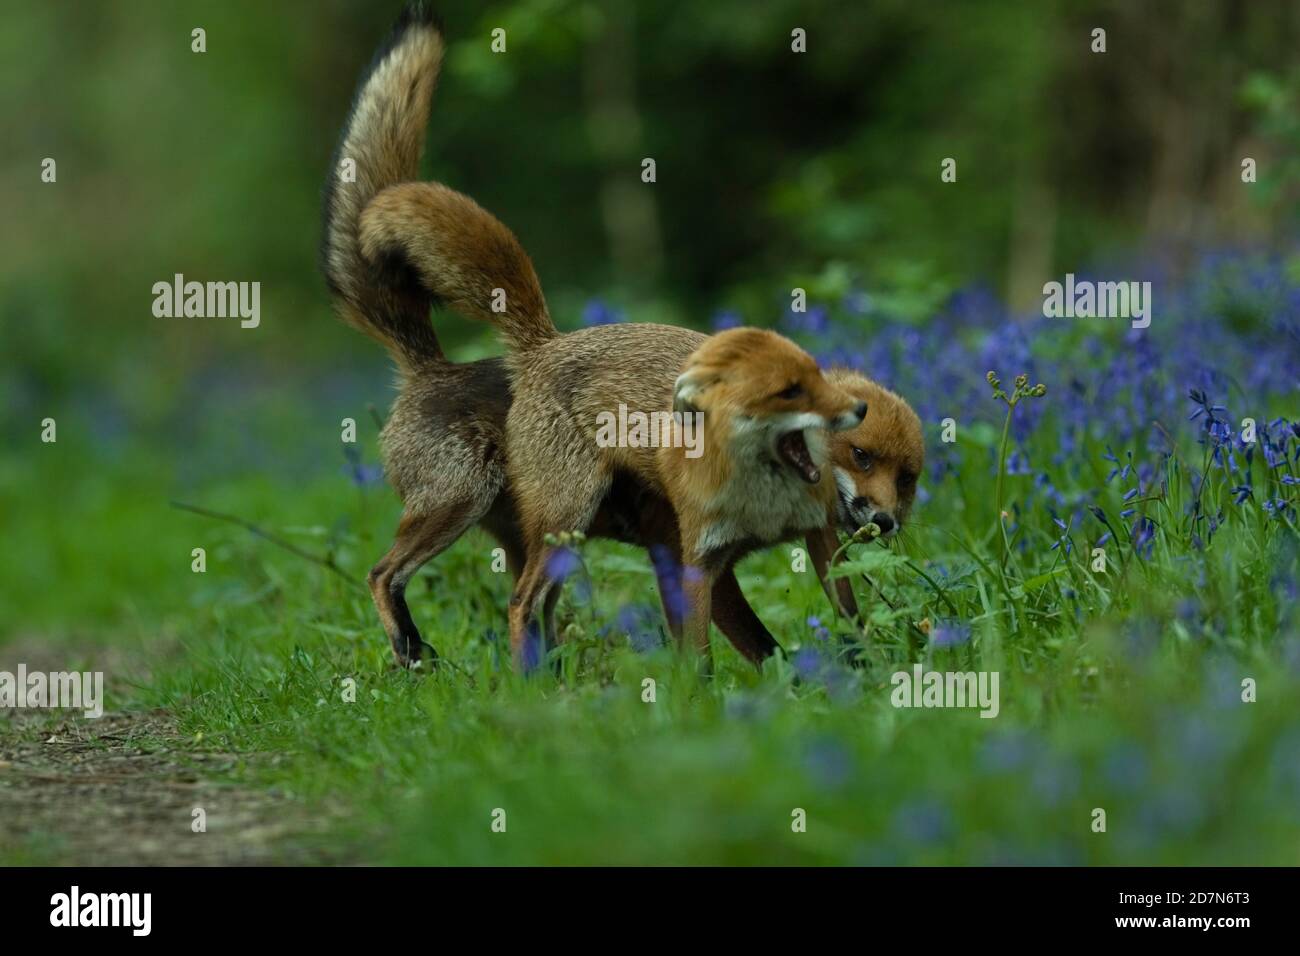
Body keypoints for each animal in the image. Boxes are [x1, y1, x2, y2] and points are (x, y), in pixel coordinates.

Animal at [322, 2, 924, 669]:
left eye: (908, 479)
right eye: (861, 456)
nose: (886, 522)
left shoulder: (806, 545)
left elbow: (838, 627)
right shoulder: (697, 560)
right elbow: (740, 651)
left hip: (539, 538)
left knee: (536, 609)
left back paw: (545, 675)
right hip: (482, 505)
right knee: (395, 576)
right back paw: (426, 653)